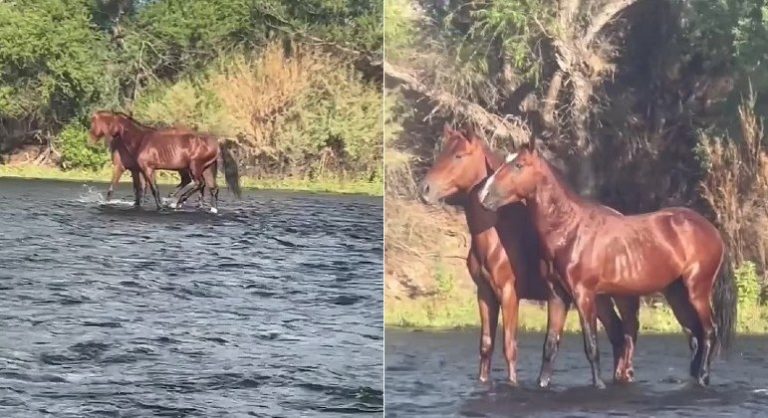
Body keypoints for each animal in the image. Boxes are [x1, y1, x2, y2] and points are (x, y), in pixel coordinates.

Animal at [89, 111, 241, 212]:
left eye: (93, 124)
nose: (90, 140)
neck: (140, 140)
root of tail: (216, 142)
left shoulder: (147, 168)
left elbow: (153, 189)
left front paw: (160, 207)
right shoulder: (140, 169)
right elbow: (140, 190)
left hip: (195, 167)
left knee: (199, 184)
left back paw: (178, 202)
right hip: (207, 169)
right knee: (212, 188)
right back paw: (211, 209)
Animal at [420, 124, 640, 387]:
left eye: (458, 156)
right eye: (442, 153)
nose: (424, 189)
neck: (497, 234)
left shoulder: (508, 293)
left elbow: (509, 346)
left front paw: (513, 383)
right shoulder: (485, 294)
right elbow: (486, 346)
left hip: (618, 297)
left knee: (627, 334)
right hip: (598, 298)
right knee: (617, 334)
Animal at [478, 145, 736, 387]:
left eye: (519, 165)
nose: (484, 195)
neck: (569, 230)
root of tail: (713, 231)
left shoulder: (584, 295)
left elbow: (591, 345)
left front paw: (599, 384)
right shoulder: (557, 295)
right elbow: (550, 345)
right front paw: (542, 383)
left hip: (697, 290)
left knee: (709, 331)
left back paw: (703, 377)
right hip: (676, 294)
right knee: (695, 335)